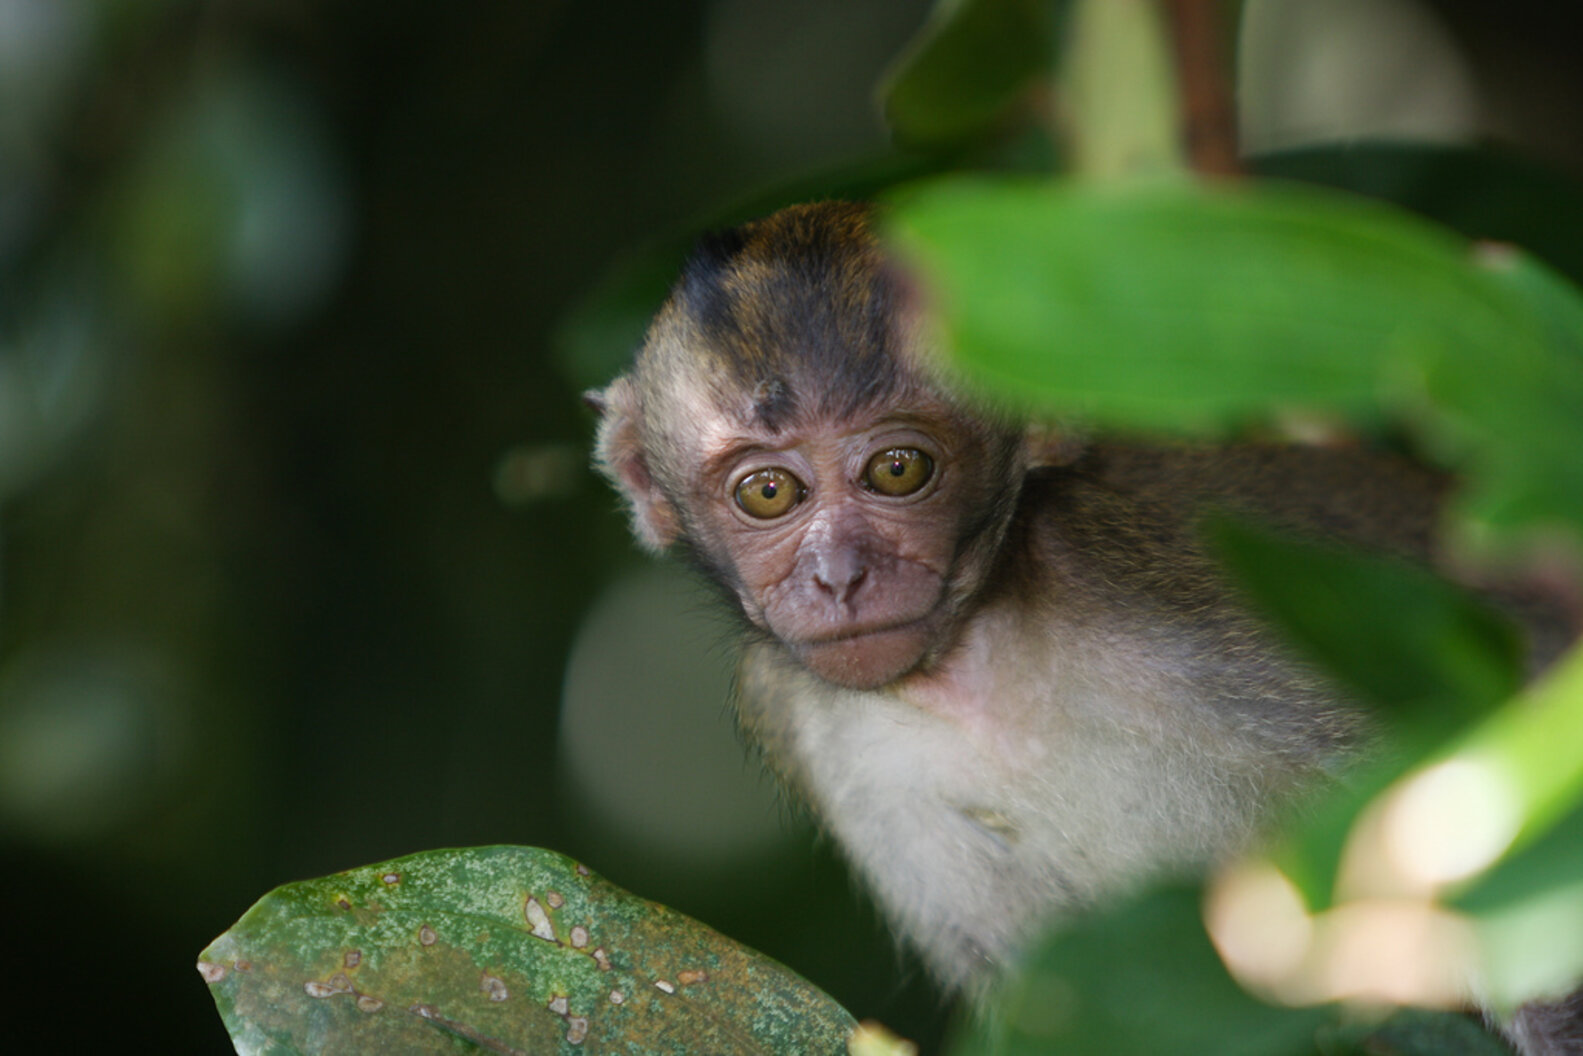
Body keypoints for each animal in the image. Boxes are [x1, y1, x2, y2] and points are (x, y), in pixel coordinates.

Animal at [586, 200, 1578, 1048]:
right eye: (767, 492)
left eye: (899, 470)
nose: (838, 578)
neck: (974, 661)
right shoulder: (806, 722)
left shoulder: (1152, 580)